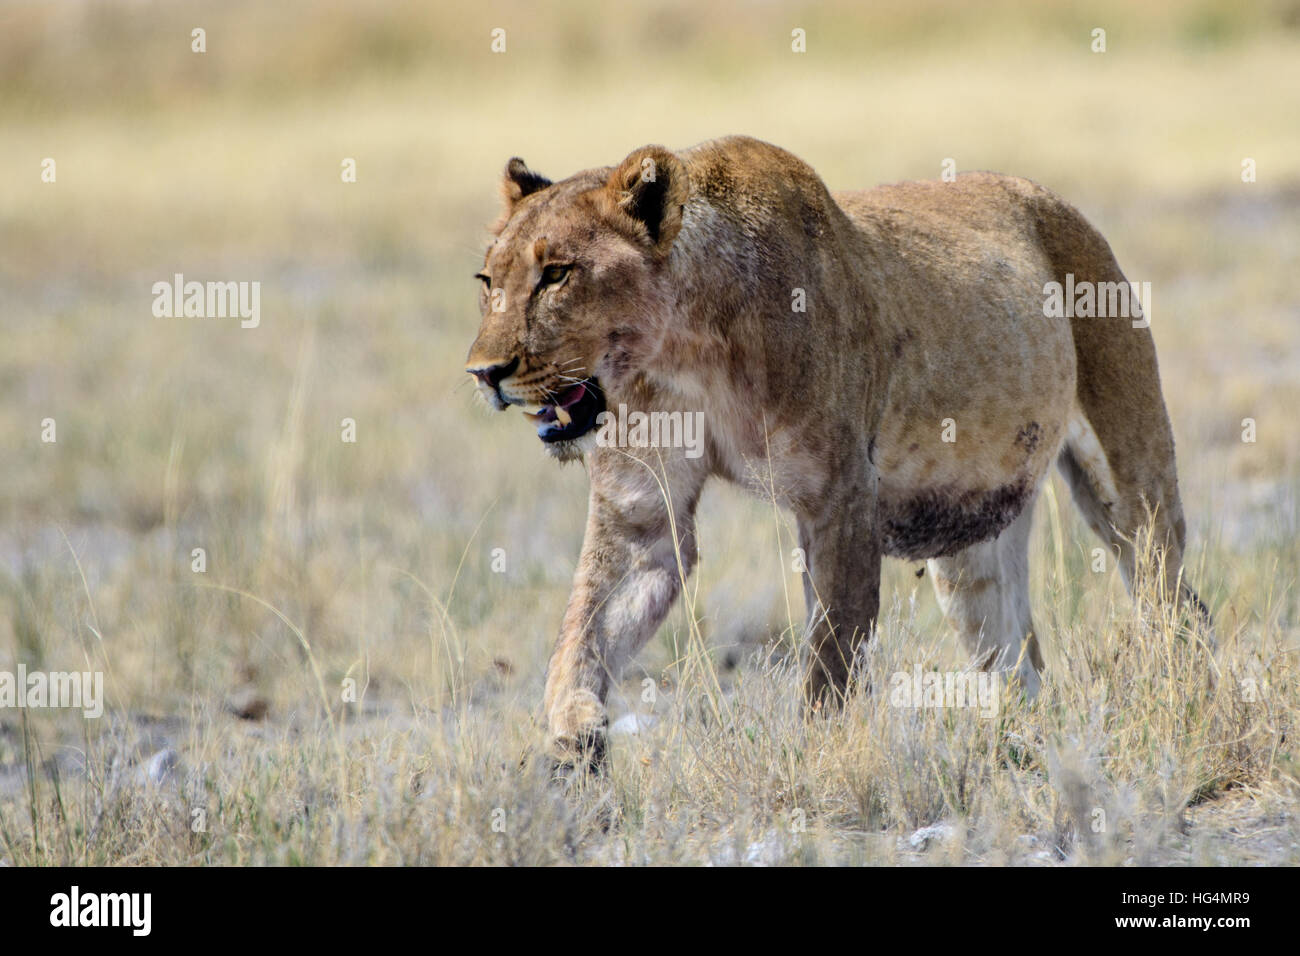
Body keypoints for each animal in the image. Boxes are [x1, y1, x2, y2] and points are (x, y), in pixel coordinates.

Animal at [465, 135, 1206, 772]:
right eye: (487, 280)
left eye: (557, 275)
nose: (483, 372)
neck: (684, 351)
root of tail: (1051, 199)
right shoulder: (641, 510)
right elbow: (585, 628)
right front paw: (573, 730)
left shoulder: (840, 497)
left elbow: (832, 658)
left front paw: (814, 759)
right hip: (971, 547)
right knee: (1016, 657)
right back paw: (1018, 746)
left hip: (1128, 475)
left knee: (1171, 596)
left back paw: (1183, 703)